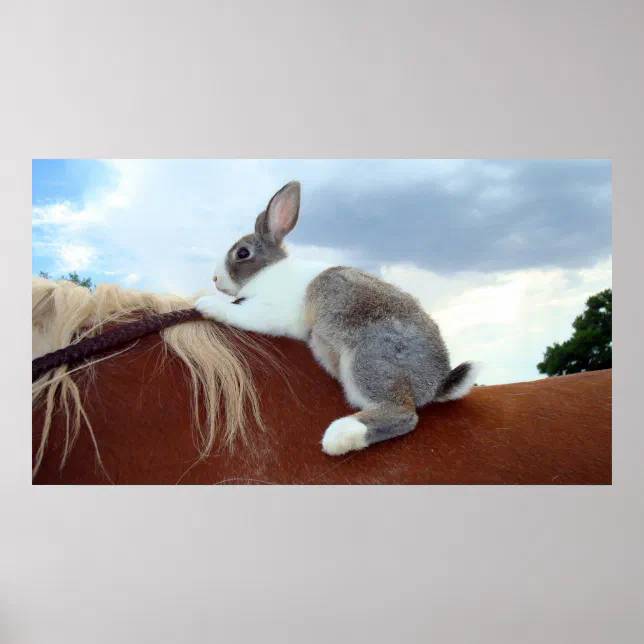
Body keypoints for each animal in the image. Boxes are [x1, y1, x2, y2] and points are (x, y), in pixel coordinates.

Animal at [195, 181, 481, 456]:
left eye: (242, 253)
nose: (215, 279)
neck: (267, 272)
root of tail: (435, 383)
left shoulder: (270, 311)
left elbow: (242, 313)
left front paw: (208, 305)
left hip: (367, 361)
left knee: (403, 414)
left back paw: (340, 436)